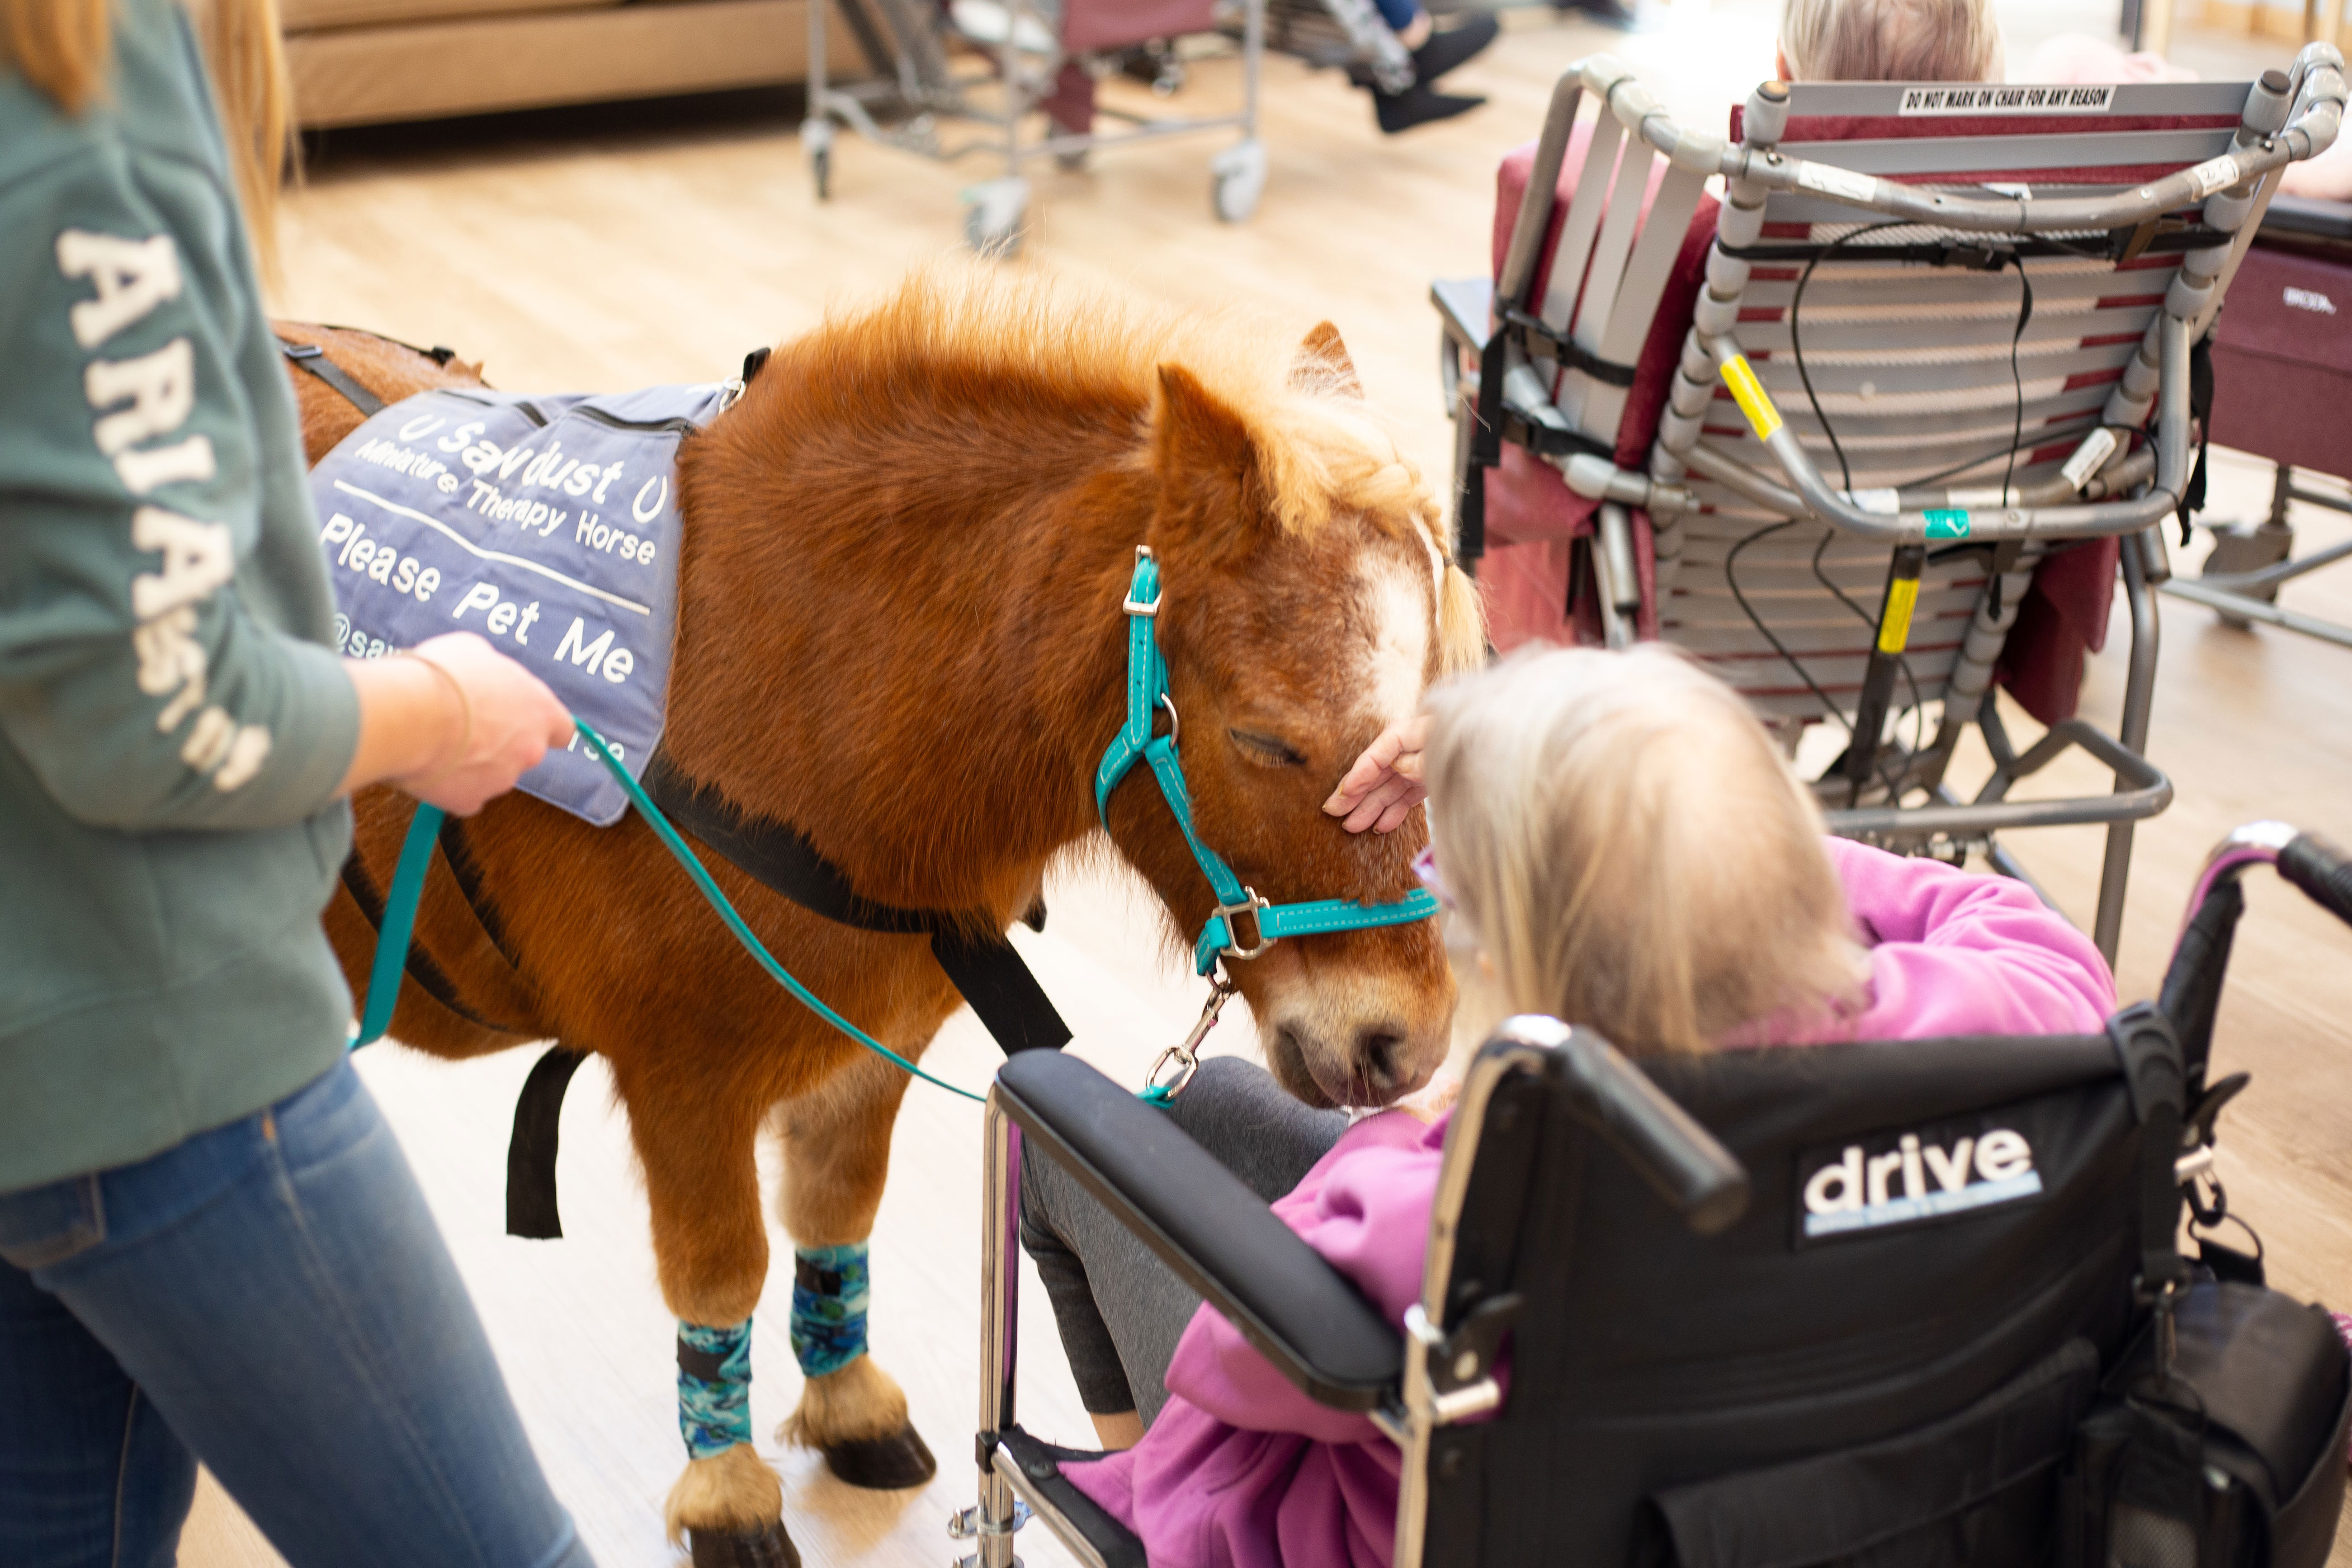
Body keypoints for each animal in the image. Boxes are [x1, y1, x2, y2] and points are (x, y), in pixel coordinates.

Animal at [284, 265, 1485, 1564]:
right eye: (1267, 739)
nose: (1401, 1042)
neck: (790, 695)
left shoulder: (869, 1051)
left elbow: (833, 1213)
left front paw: (845, 1402)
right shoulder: (682, 1084)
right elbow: (721, 1271)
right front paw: (730, 1492)